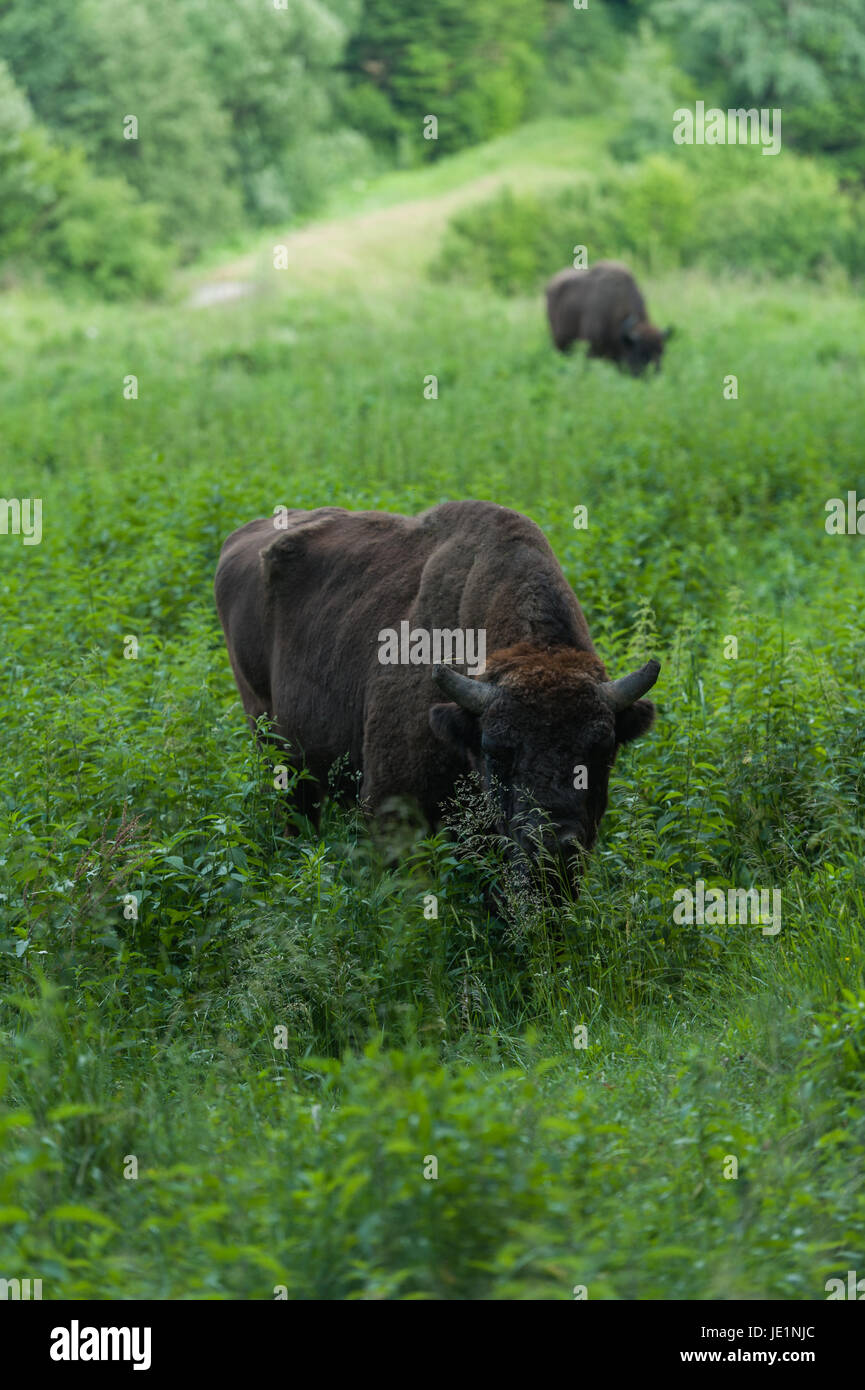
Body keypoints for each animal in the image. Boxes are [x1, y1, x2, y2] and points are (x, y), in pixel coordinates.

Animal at [214, 500, 659, 894]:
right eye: (495, 749)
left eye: (603, 749)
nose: (551, 844)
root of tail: (239, 540)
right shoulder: (393, 806)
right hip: (275, 746)